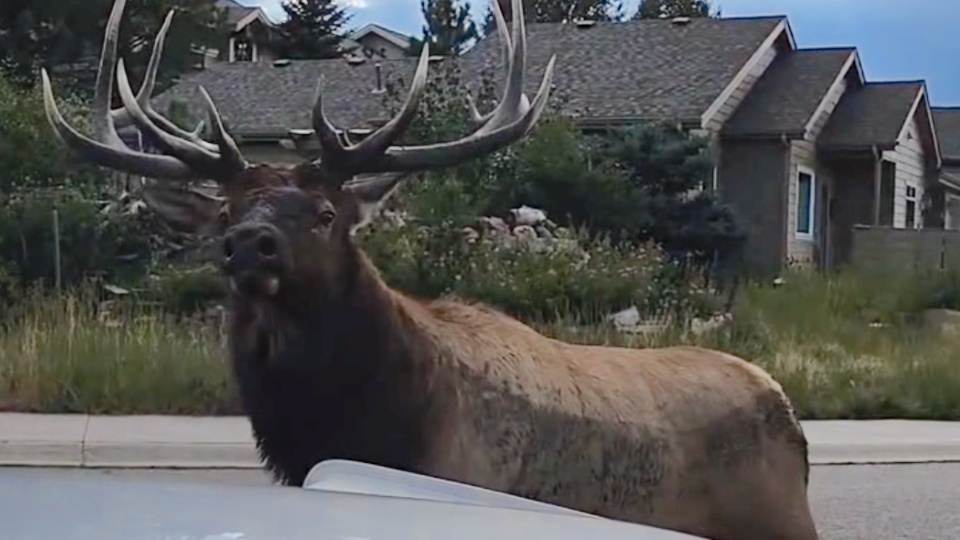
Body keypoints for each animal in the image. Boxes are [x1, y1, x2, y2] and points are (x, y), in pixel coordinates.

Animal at [40, 0, 819, 539]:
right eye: (225, 214)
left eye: (325, 212)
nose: (249, 244)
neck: (353, 434)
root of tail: (784, 405)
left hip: (782, 523)